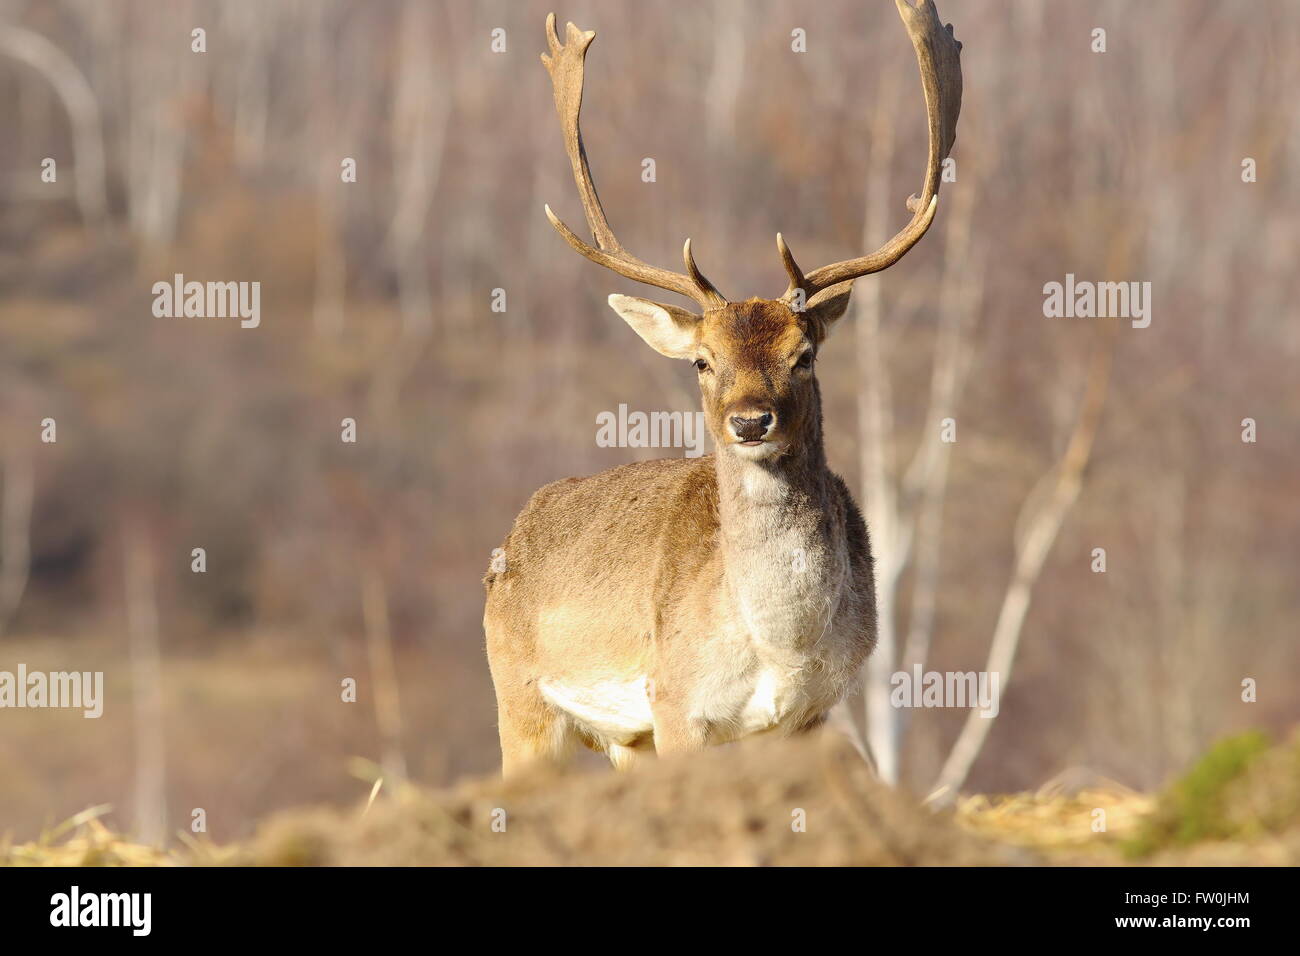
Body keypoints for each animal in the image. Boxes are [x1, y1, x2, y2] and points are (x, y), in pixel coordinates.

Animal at [484, 1, 961, 776]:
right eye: (702, 362)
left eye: (804, 355)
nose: (750, 421)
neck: (780, 645)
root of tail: (514, 533)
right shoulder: (677, 699)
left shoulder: (809, 714)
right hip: (520, 696)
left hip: (624, 739)